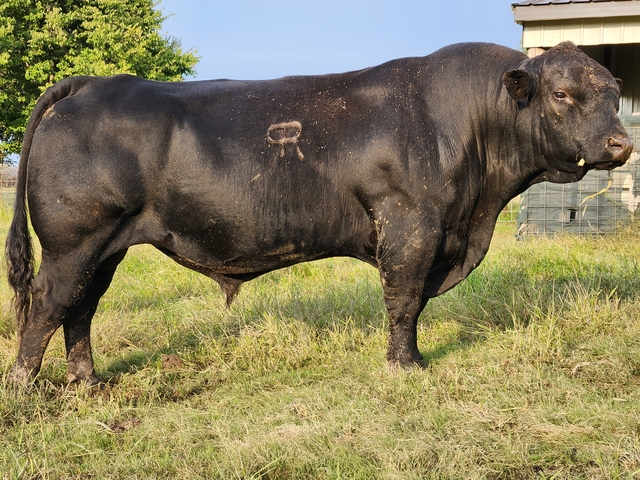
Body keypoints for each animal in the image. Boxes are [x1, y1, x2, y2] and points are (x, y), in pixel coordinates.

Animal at [6, 41, 633, 385]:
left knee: (80, 310)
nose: (620, 144)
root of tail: (92, 84)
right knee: (47, 306)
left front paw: (412, 359)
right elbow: (405, 300)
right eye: (561, 94)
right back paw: (23, 388)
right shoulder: (410, 225)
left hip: (104, 247)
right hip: (73, 241)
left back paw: (87, 383)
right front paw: (406, 367)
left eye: (612, 92)